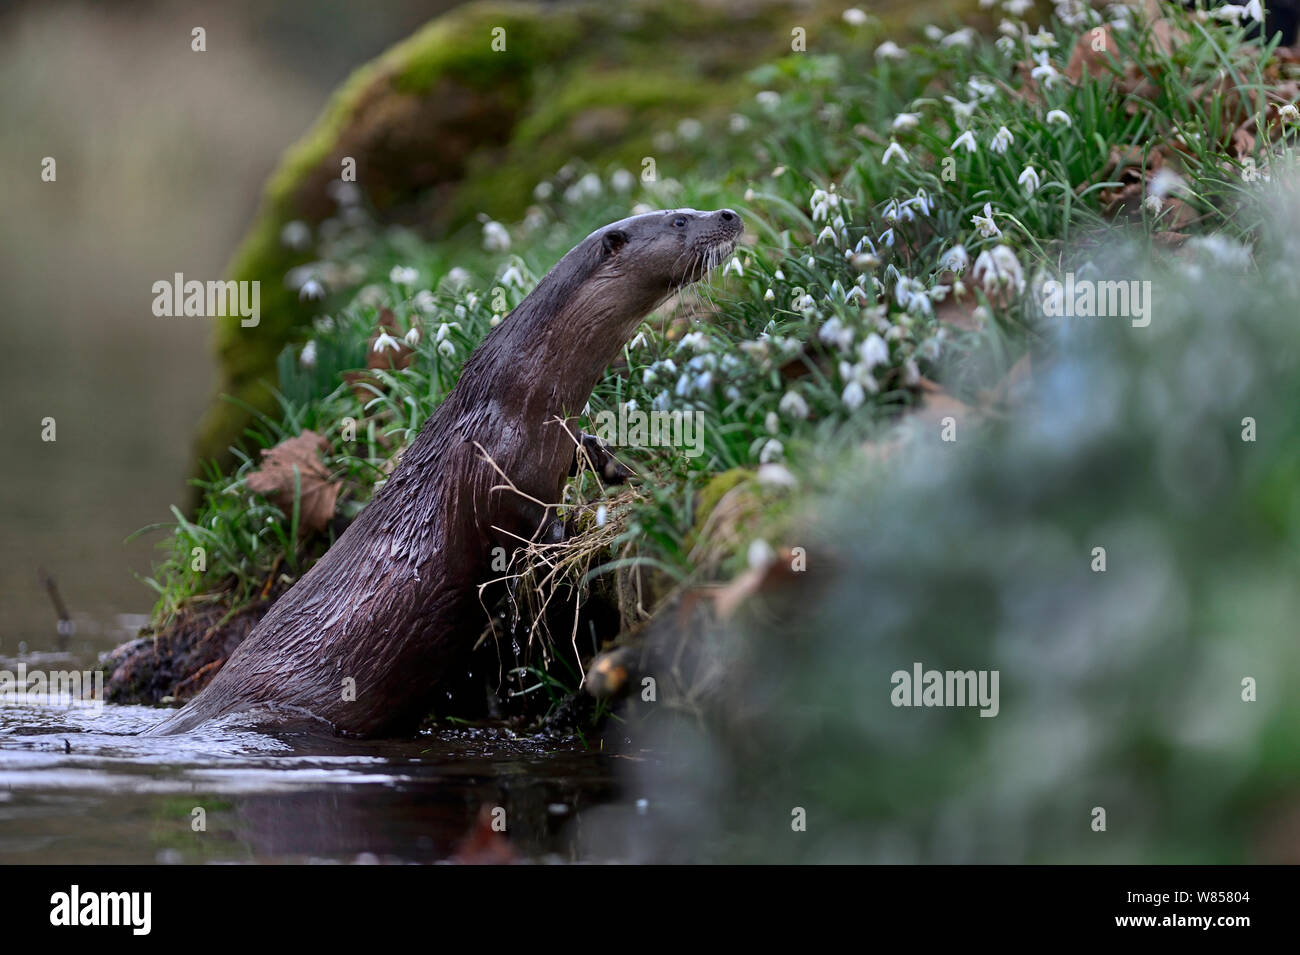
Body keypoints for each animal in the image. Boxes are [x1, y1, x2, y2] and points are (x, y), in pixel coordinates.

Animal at [147, 208, 742, 737]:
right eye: (680, 220)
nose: (729, 215)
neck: (523, 396)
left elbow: (583, 453)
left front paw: (614, 465)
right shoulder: (494, 463)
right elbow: (516, 519)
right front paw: (562, 534)